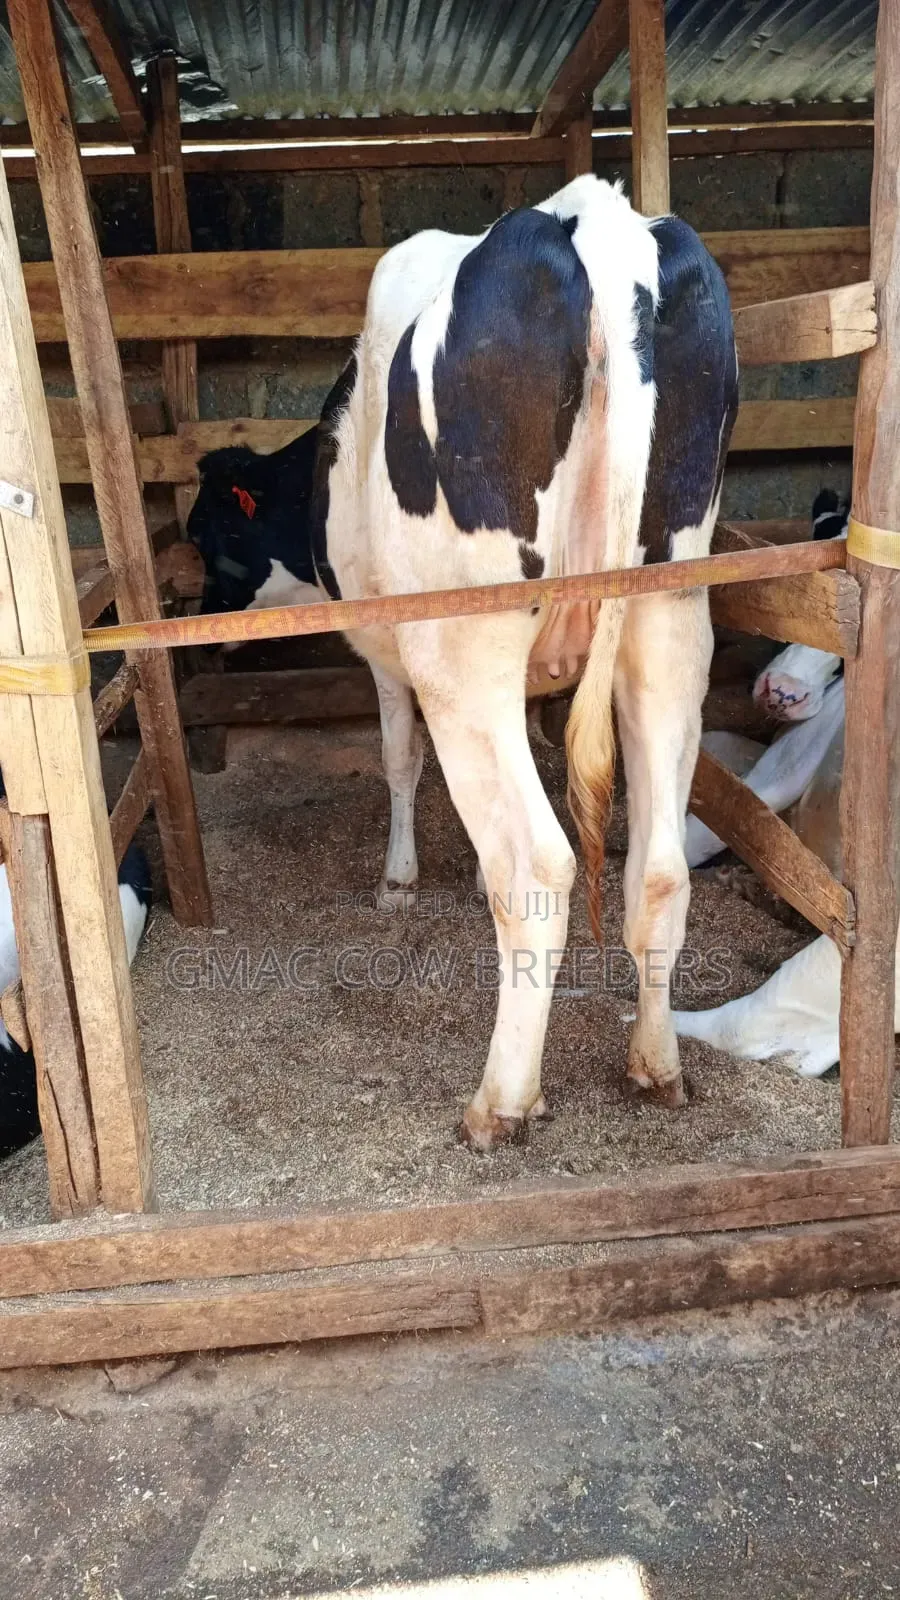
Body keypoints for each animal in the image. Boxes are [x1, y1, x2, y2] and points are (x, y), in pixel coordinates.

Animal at [307, 176, 738, 1146]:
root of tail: (592, 216)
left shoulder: (391, 659)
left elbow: (400, 758)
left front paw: (400, 880)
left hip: (462, 643)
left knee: (538, 865)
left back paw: (501, 1101)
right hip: (671, 617)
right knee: (658, 869)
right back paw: (656, 1066)